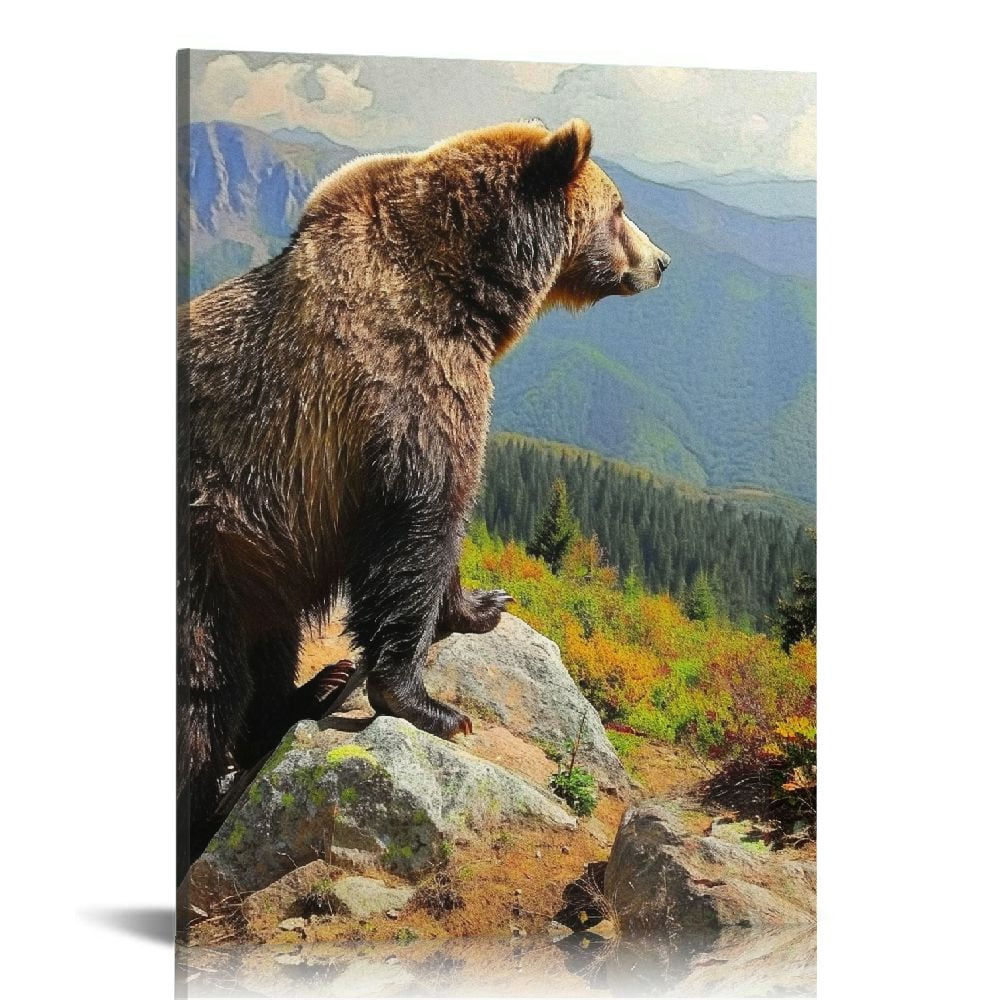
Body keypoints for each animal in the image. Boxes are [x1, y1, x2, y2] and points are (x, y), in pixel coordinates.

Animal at [177, 118, 669, 879]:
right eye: (619, 209)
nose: (661, 261)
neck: (468, 294)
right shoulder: (405, 381)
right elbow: (422, 523)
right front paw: (429, 704)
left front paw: (484, 605)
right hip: (207, 552)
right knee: (202, 701)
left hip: (257, 557)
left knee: (270, 645)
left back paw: (308, 691)